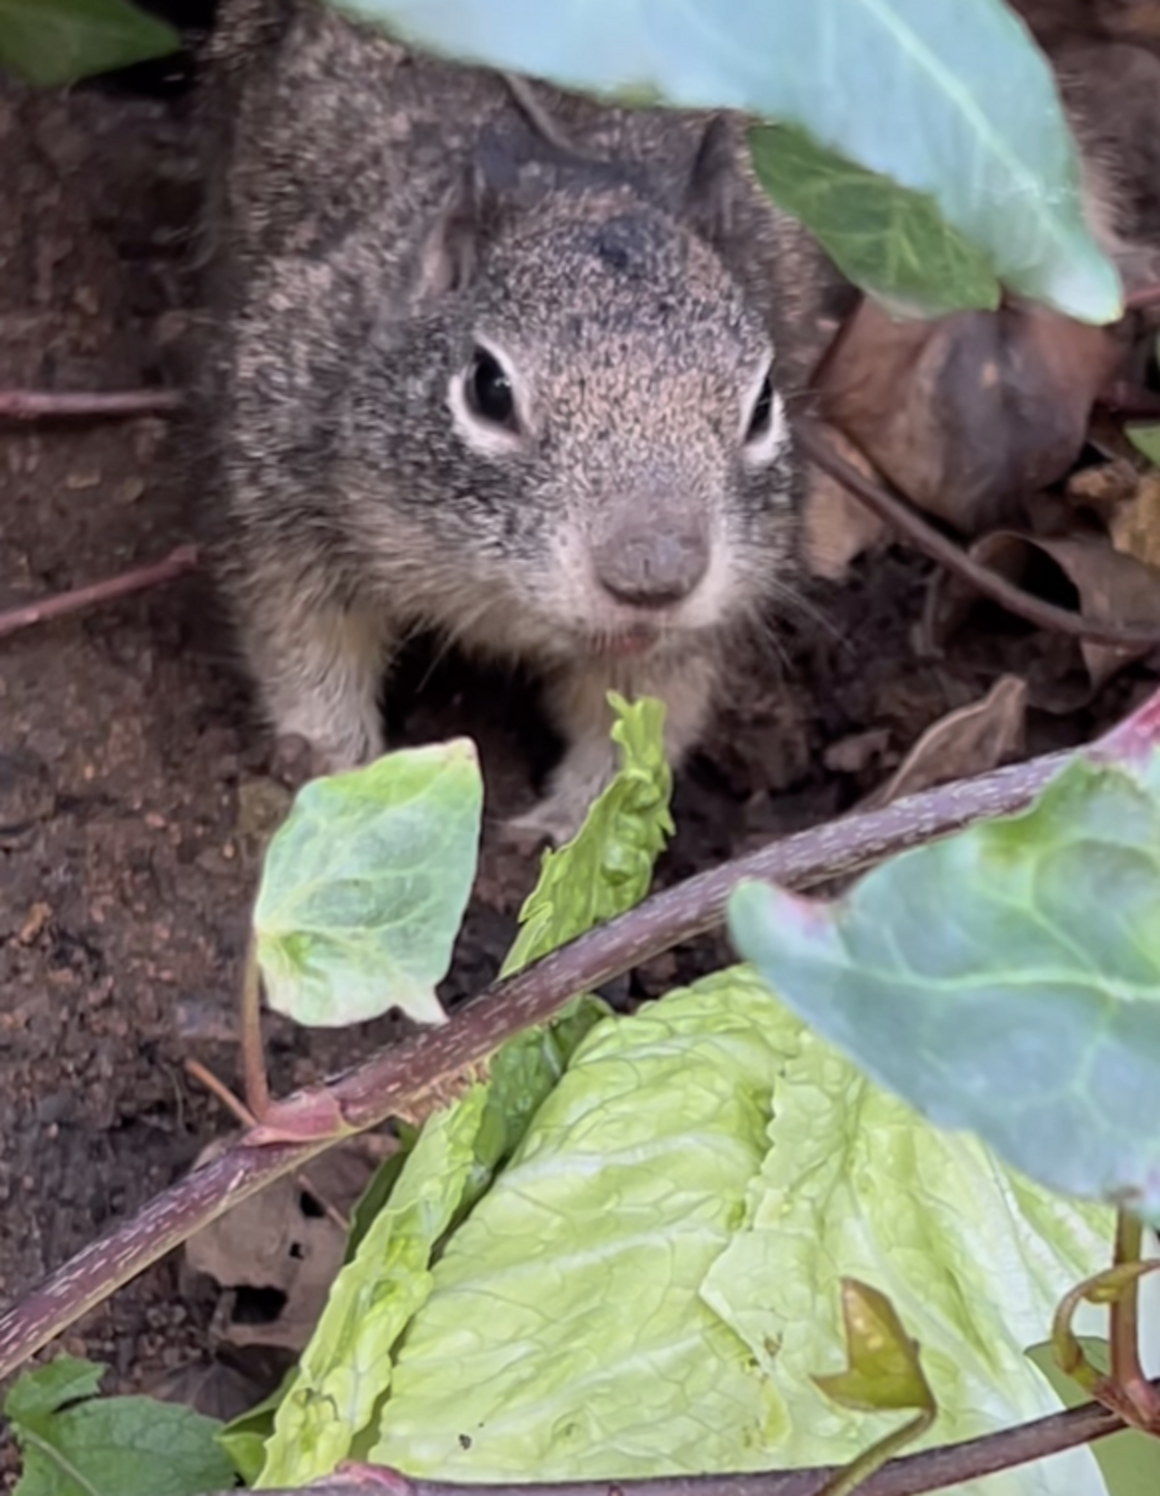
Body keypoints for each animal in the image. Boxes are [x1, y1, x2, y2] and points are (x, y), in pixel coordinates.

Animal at [195, 0, 833, 845]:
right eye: (489, 390)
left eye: (762, 402)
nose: (654, 576)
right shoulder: (279, 485)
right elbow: (307, 648)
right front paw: (341, 771)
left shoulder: (702, 623)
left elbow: (640, 715)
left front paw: (579, 822)